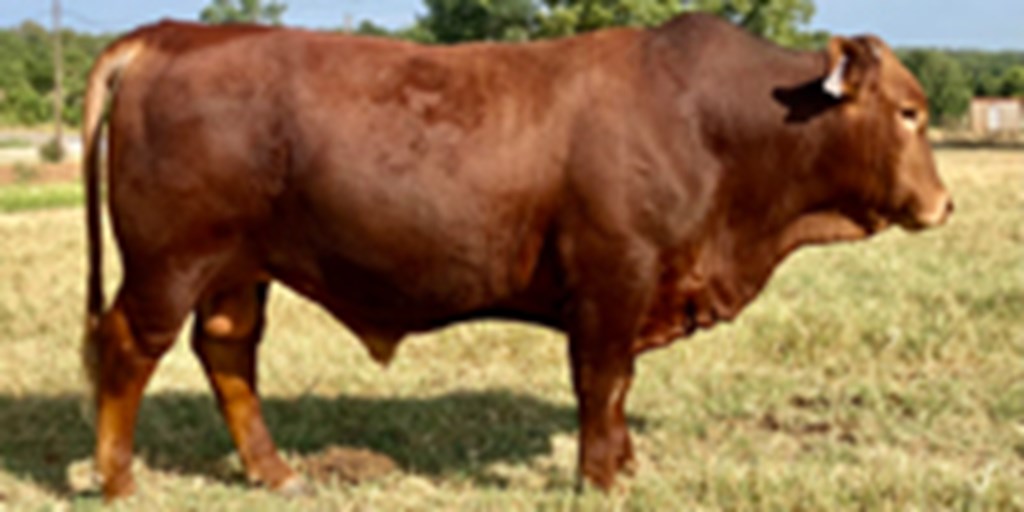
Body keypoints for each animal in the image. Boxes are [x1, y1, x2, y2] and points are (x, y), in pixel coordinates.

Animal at [80, 13, 951, 500]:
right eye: (909, 113)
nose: (943, 204)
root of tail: (172, 33)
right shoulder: (613, 278)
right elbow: (602, 383)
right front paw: (601, 479)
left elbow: (617, 391)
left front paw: (623, 466)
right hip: (169, 261)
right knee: (128, 349)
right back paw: (118, 481)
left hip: (237, 268)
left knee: (228, 352)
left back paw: (277, 473)